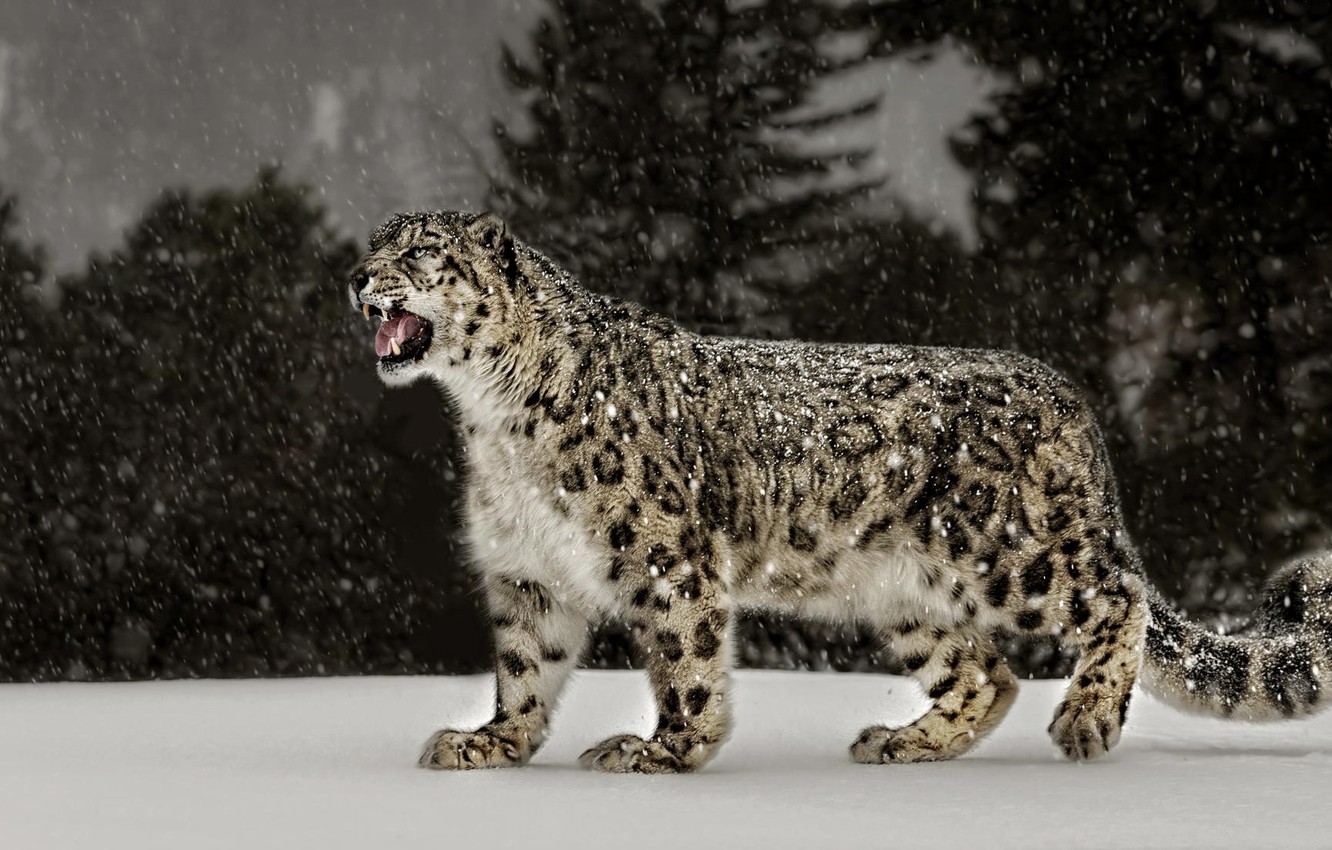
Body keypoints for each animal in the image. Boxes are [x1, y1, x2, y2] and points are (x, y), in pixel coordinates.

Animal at [348, 210, 1332, 773]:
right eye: (372, 244)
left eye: (421, 251)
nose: (357, 276)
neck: (491, 422)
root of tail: (1069, 399)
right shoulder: (527, 573)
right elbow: (525, 669)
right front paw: (490, 742)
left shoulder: (667, 559)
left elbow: (685, 664)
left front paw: (664, 751)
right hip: (904, 593)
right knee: (988, 673)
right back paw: (903, 741)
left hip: (1013, 554)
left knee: (1117, 598)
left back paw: (1087, 719)